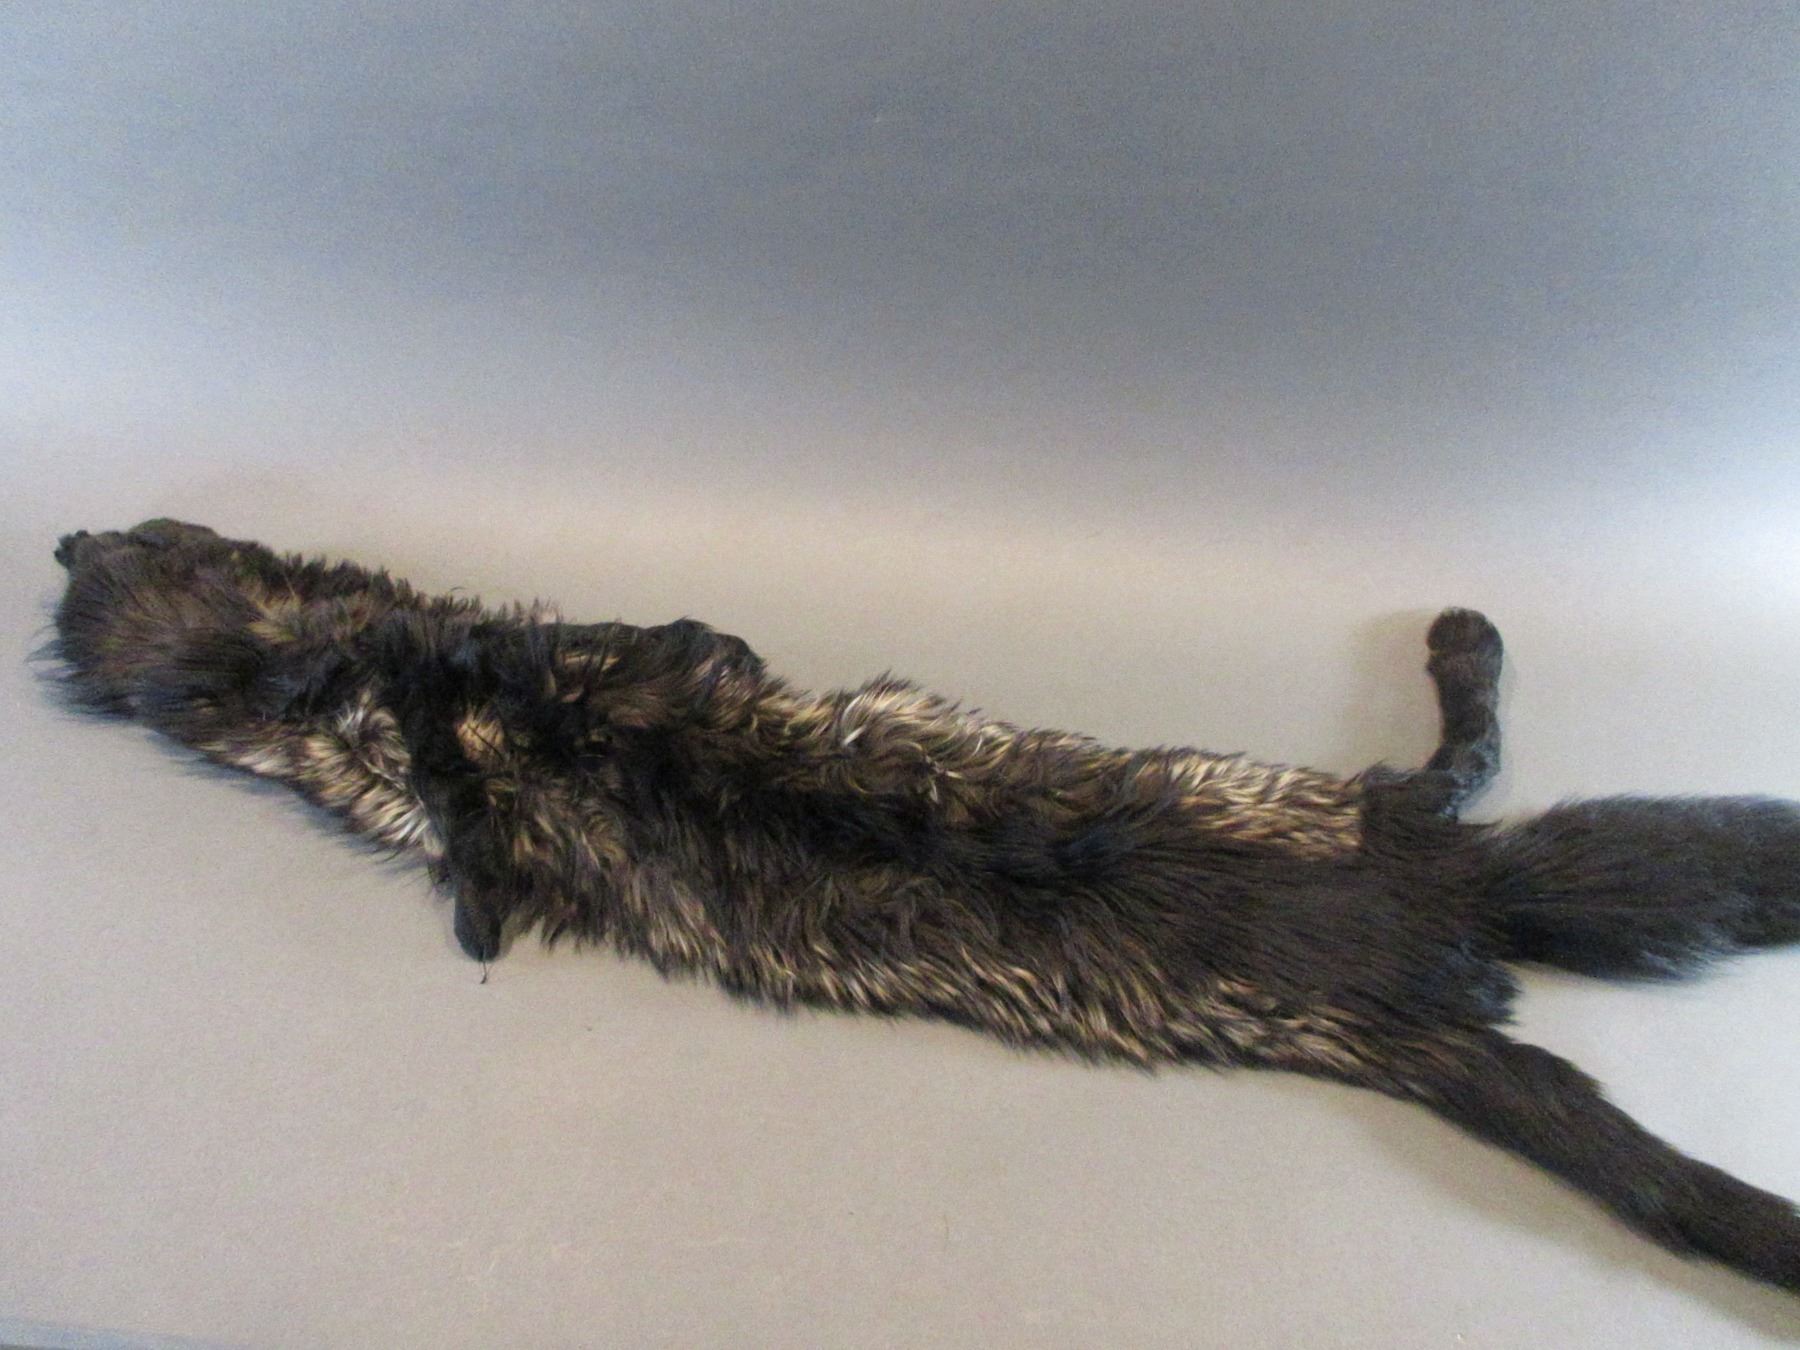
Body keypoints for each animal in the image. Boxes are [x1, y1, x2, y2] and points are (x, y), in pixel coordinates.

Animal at [47, 517, 1800, 1296]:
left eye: (147, 533)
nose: (72, 538)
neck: (374, 672)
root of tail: (1440, 935)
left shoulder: (533, 693)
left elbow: (554, 772)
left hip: (1378, 821)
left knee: (1474, 750)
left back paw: (1462, 636)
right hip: (1449, 923)